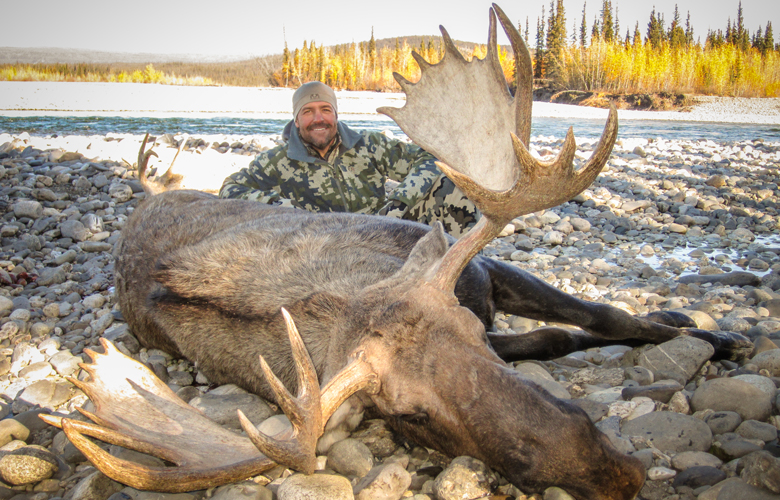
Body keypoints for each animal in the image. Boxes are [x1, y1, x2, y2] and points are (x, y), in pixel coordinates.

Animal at [40, 4, 751, 499]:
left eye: (473, 339)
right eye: (412, 415)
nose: (611, 471)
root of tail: (144, 197)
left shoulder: (487, 273)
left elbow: (606, 316)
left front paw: (714, 334)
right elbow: (558, 337)